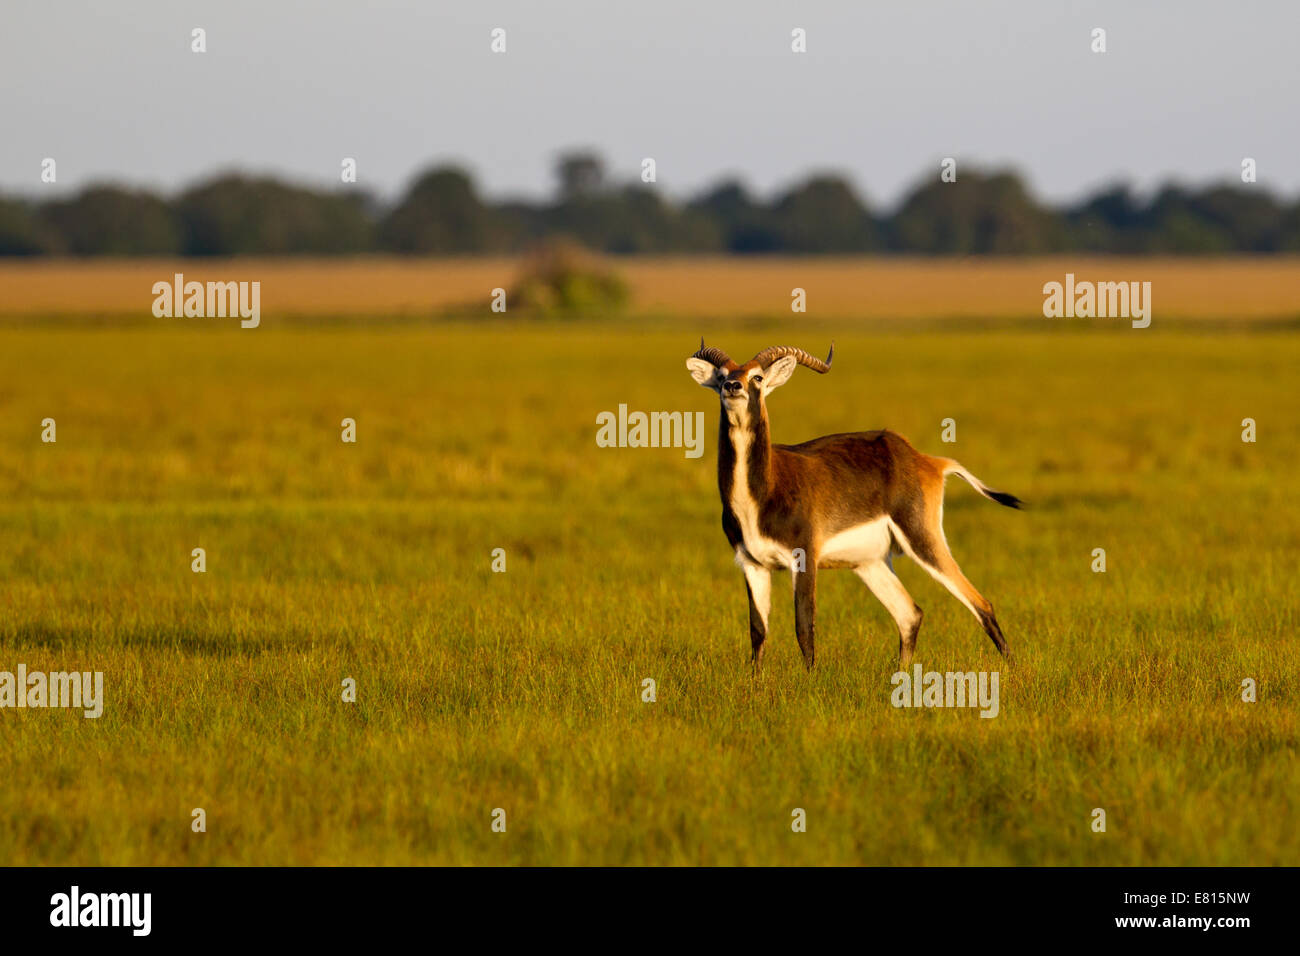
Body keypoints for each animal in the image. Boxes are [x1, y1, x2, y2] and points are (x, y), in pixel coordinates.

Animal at [686, 341, 1022, 669]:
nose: (733, 386)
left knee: (981, 604)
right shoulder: (752, 563)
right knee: (910, 614)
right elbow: (758, 630)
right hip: (869, 562)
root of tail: (926, 460)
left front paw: (811, 679)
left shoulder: (804, 557)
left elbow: (804, 625)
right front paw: (756, 680)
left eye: (756, 377)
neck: (764, 490)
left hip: (921, 539)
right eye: (721, 376)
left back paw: (1012, 669)